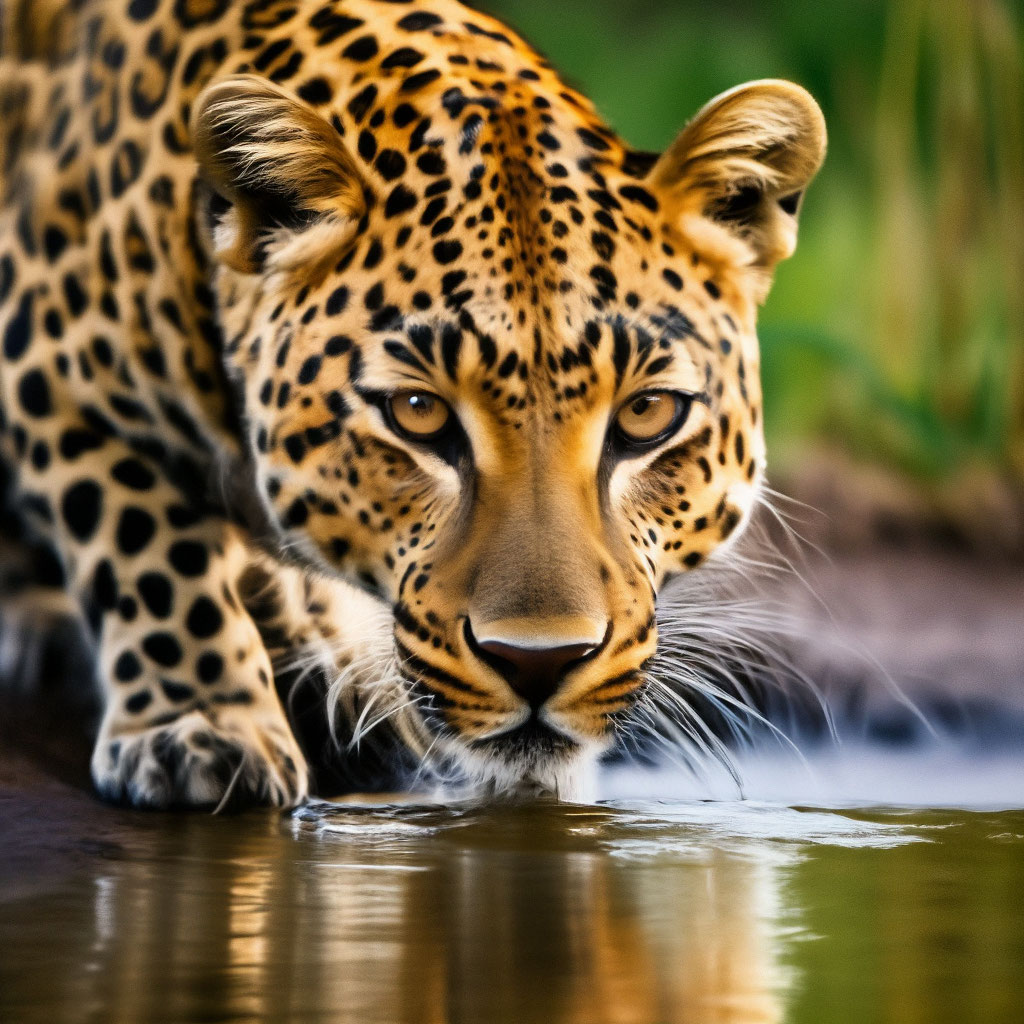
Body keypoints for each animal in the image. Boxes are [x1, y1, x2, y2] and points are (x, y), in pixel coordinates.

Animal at [0, 0, 826, 808]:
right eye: (417, 414)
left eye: (646, 414)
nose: (537, 662)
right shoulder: (46, 378)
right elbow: (151, 539)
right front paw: (203, 726)